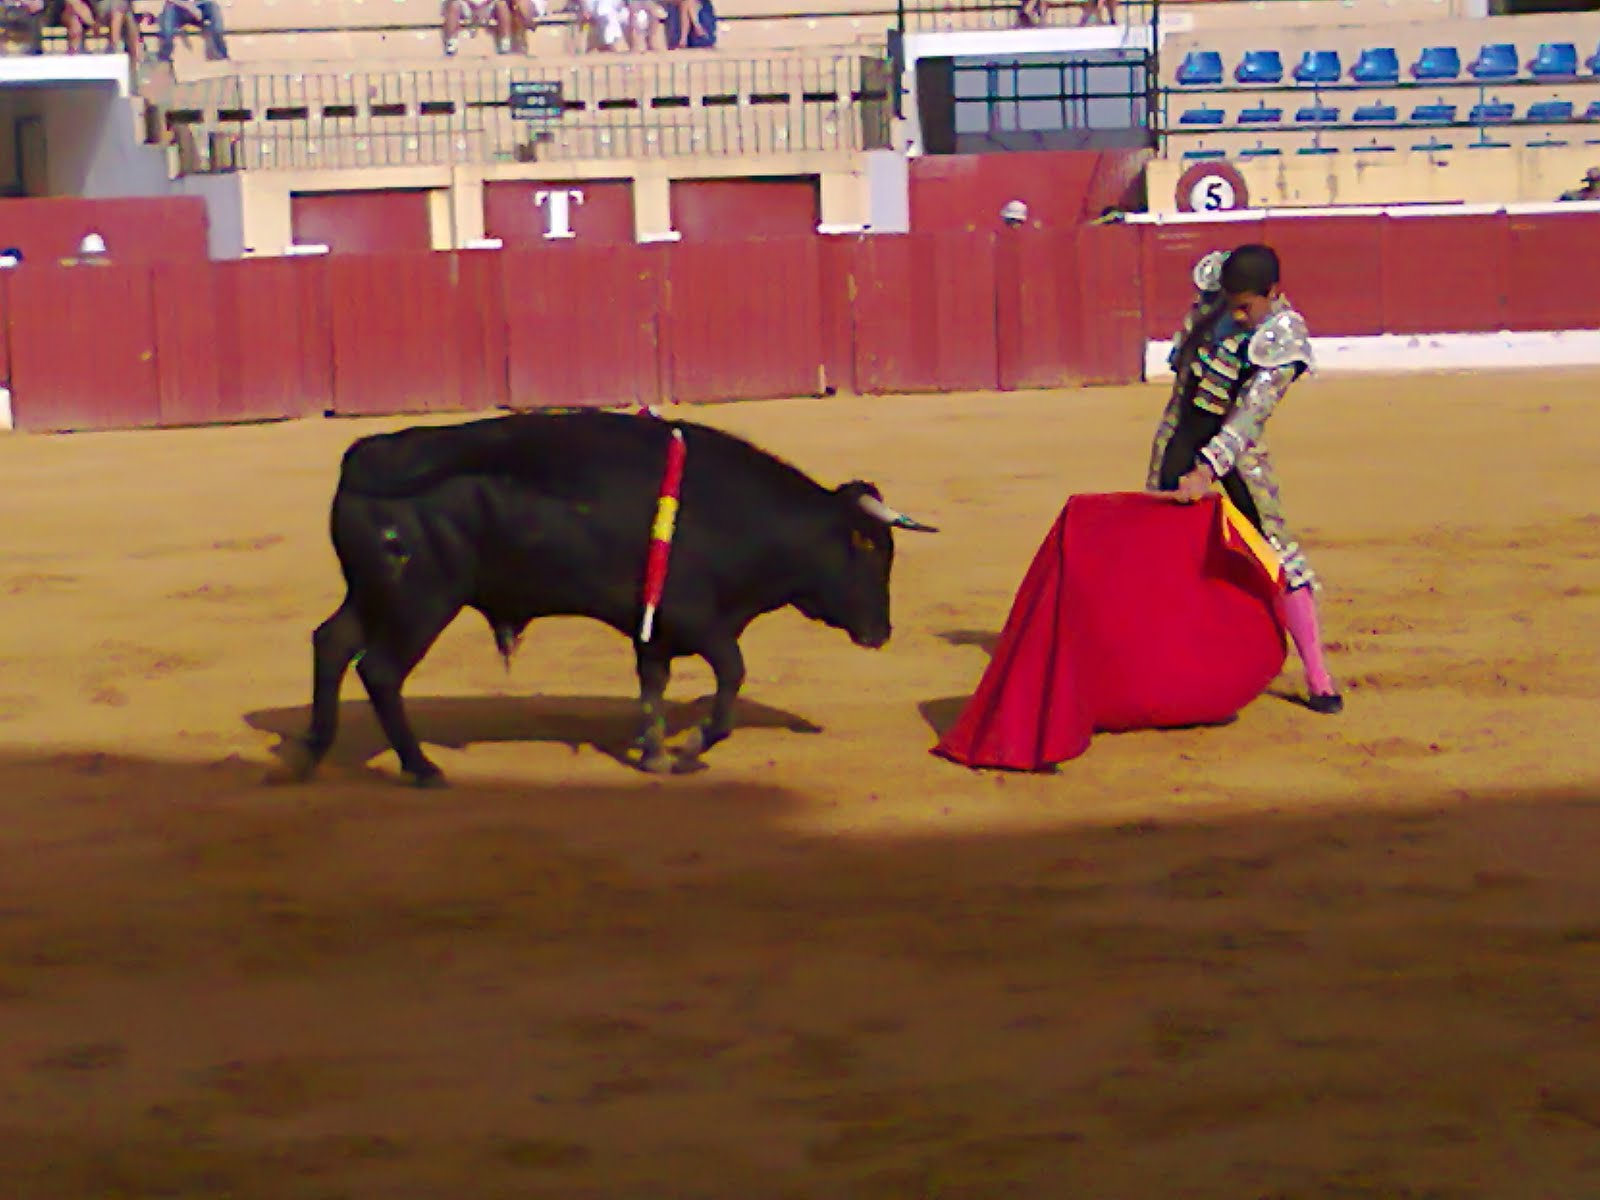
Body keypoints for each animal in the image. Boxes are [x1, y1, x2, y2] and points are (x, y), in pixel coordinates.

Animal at [291, 409, 938, 786]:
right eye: (873, 552)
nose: (880, 632)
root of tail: (364, 457)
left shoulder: (655, 630)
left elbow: (652, 688)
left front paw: (653, 755)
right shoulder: (698, 620)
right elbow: (731, 675)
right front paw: (691, 749)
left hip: (374, 594)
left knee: (332, 643)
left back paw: (312, 753)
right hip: (418, 601)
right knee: (379, 669)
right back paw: (420, 767)